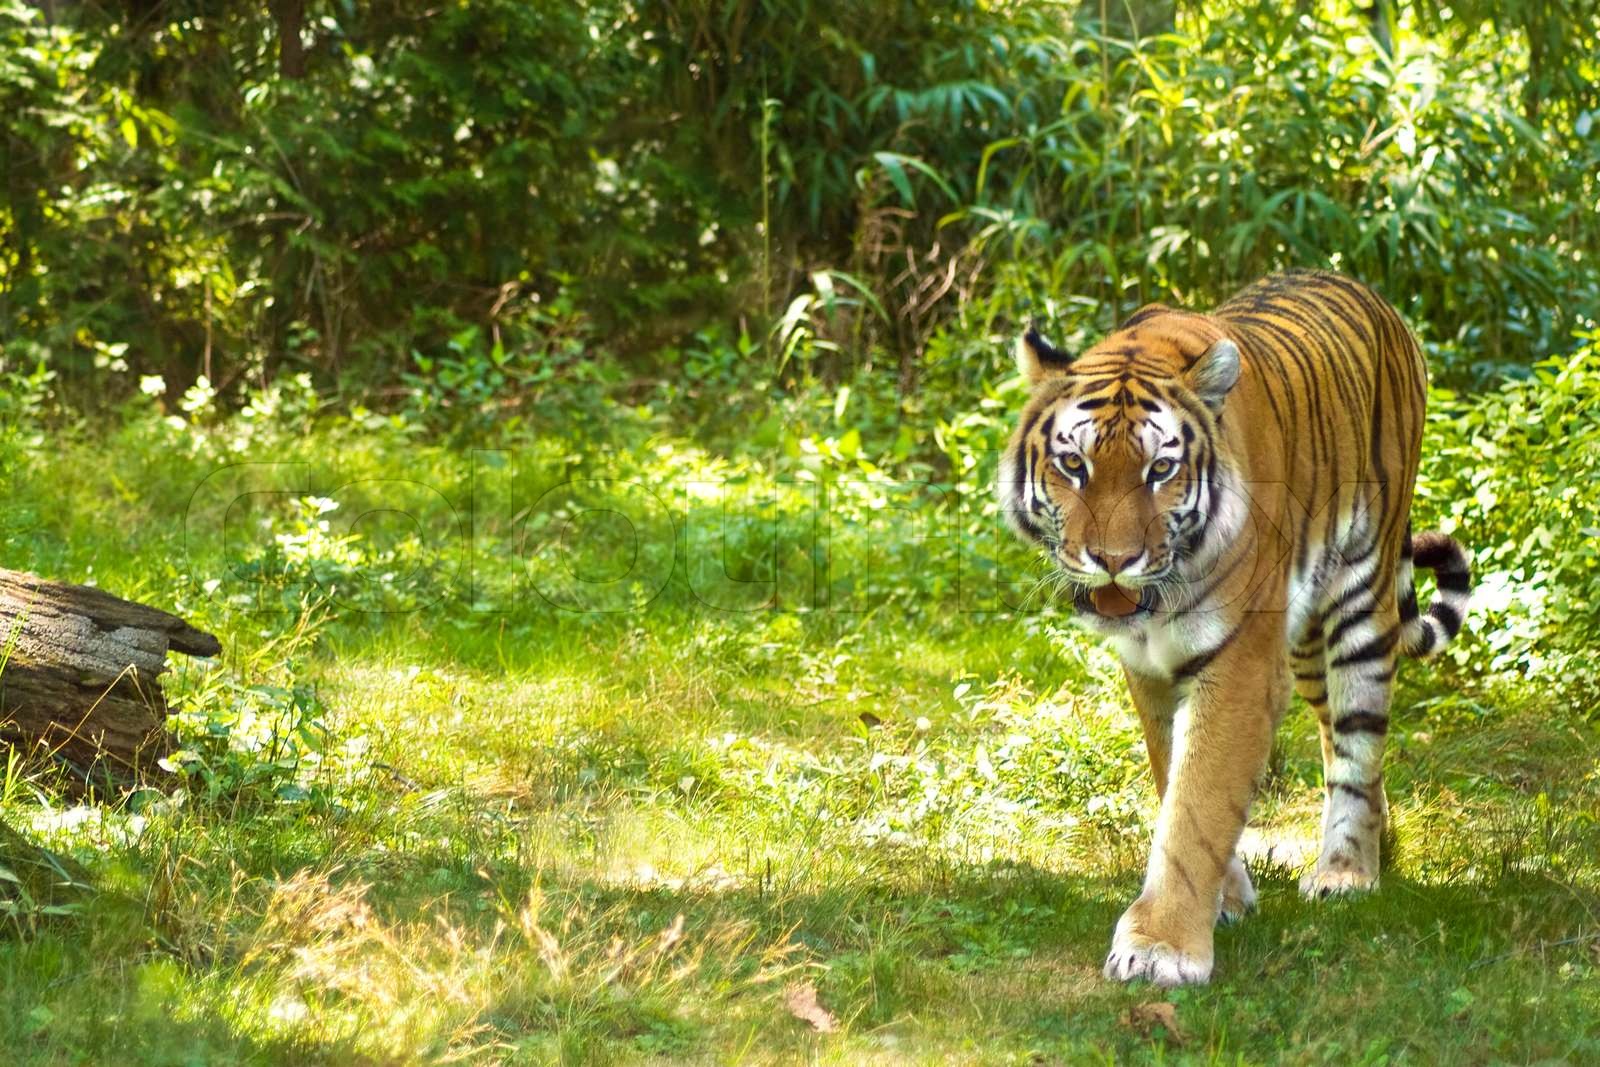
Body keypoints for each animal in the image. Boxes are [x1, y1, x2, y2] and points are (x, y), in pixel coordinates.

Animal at [998, 269, 1472, 986]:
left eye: (1160, 469)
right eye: (1074, 466)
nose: (1113, 560)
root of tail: (1368, 293)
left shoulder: (1240, 662)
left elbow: (1199, 799)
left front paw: (1163, 945)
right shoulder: (1150, 668)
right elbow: (1174, 777)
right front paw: (1226, 897)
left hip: (1359, 597)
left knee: (1359, 739)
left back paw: (1347, 870)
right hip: (1301, 644)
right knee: (1333, 734)